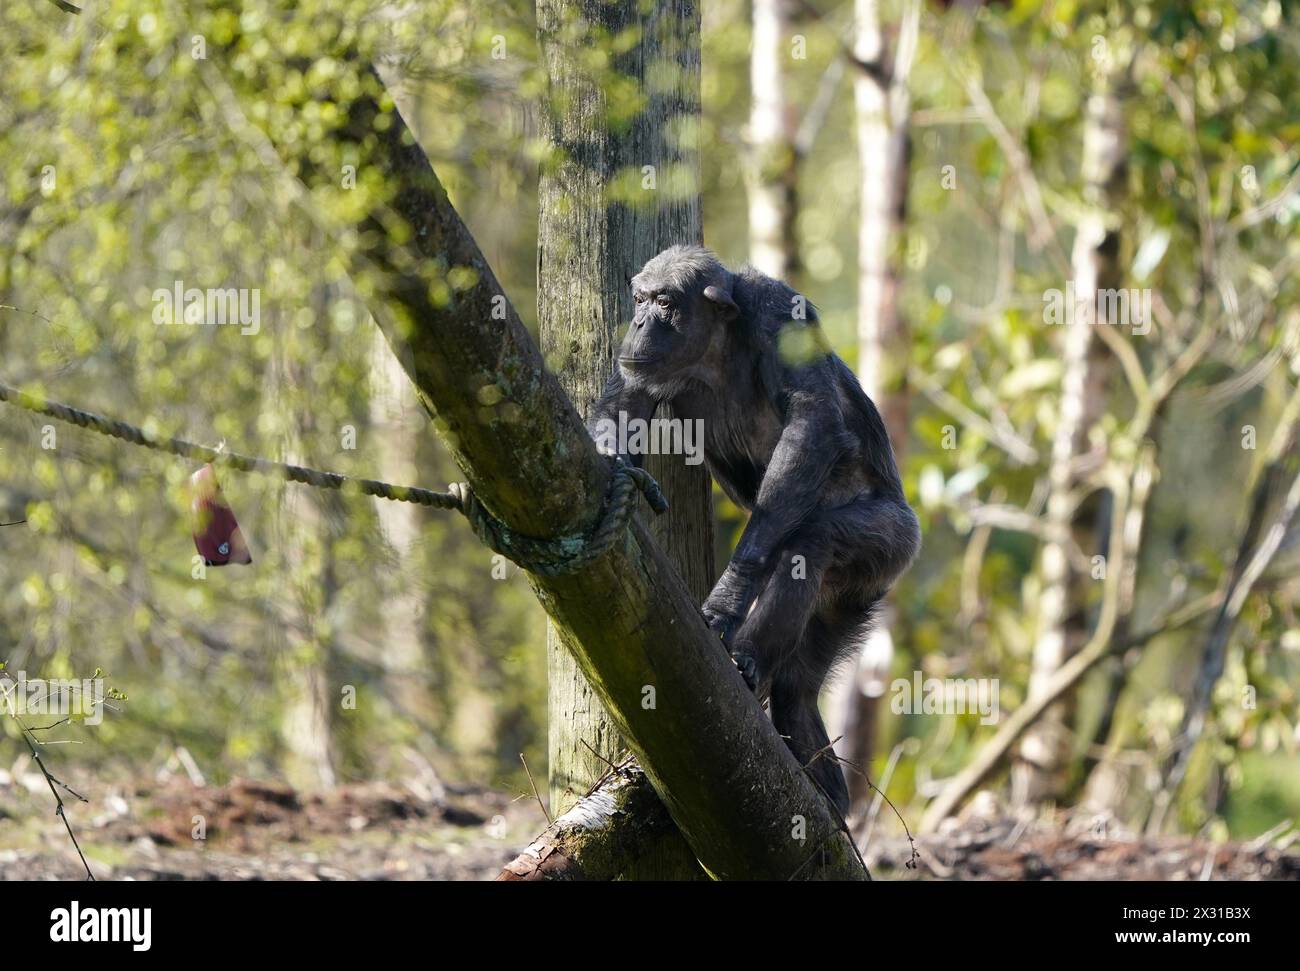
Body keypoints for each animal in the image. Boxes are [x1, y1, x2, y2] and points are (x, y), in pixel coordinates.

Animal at [590, 245, 920, 816]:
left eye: (665, 302)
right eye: (639, 298)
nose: (639, 321)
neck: (716, 347)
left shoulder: (778, 312)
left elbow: (811, 421)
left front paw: (727, 597)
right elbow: (628, 401)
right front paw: (612, 465)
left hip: (894, 542)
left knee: (810, 544)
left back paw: (747, 658)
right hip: (852, 601)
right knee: (798, 684)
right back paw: (828, 790)